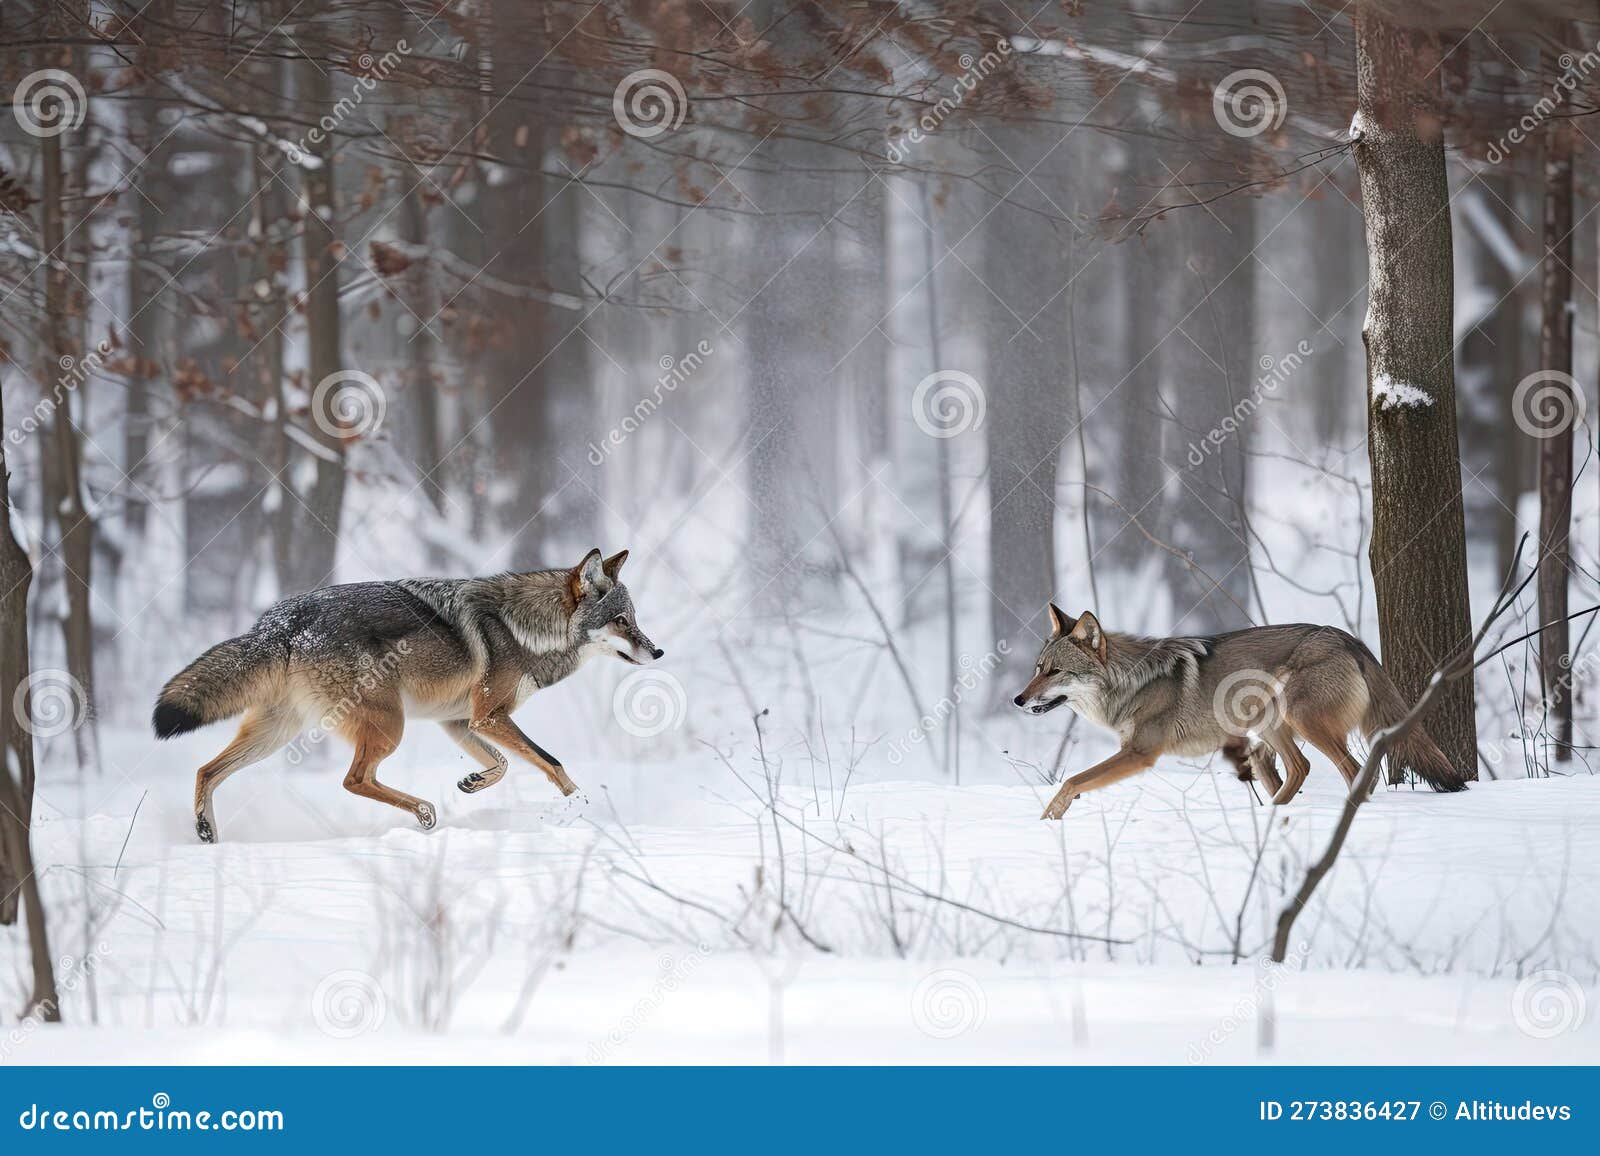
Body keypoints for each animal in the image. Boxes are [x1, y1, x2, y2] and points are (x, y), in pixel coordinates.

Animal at [153, 548, 661, 843]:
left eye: (634, 618)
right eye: (620, 621)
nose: (657, 651)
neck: (527, 629)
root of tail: (278, 622)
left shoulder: (461, 721)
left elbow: (501, 764)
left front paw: (473, 782)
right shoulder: (488, 716)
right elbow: (551, 763)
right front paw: (581, 811)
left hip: (279, 733)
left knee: (206, 770)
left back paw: (205, 831)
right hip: (388, 726)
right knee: (354, 780)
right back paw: (423, 812)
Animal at [1013, 605, 1467, 820]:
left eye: (1055, 672)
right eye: (1037, 669)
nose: (1017, 700)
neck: (1132, 681)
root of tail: (1347, 637)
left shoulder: (1139, 754)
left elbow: (1072, 780)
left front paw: (1048, 818)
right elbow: (1074, 782)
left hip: (1296, 719)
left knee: (1353, 770)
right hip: (1266, 726)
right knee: (1298, 769)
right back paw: (1272, 815)